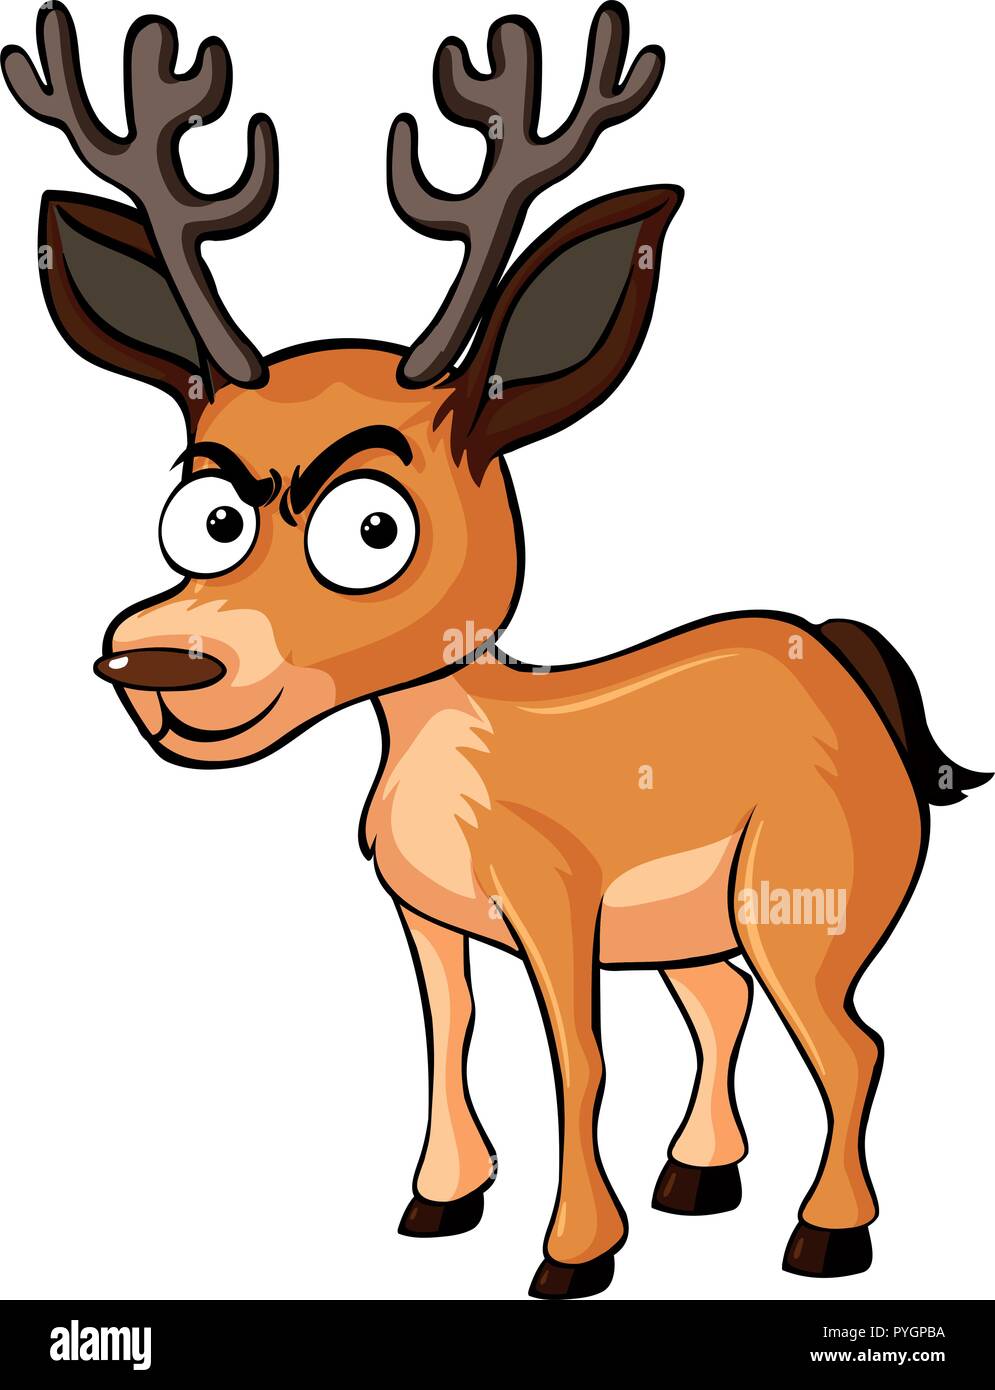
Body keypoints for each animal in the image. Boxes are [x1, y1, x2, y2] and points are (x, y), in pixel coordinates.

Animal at [3, 1, 989, 1301]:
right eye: (202, 512)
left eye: (371, 526)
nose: (158, 664)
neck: (455, 757)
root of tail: (836, 655)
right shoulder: (422, 916)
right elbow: (449, 1032)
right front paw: (439, 1200)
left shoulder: (556, 905)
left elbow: (576, 1054)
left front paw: (572, 1255)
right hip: (691, 925)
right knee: (722, 1006)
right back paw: (698, 1177)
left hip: (800, 900)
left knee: (849, 1041)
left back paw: (827, 1234)